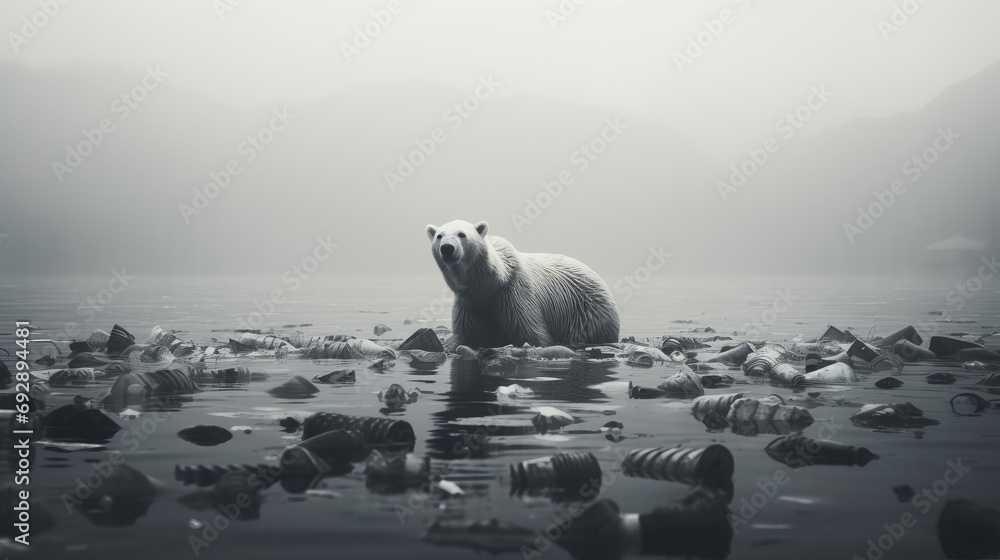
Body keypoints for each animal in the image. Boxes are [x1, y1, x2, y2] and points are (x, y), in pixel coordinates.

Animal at [425, 219, 620, 349]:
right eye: (439, 236)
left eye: (461, 234)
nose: (447, 248)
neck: (489, 285)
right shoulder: (470, 303)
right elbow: (466, 335)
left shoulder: (514, 293)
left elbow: (530, 332)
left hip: (585, 312)